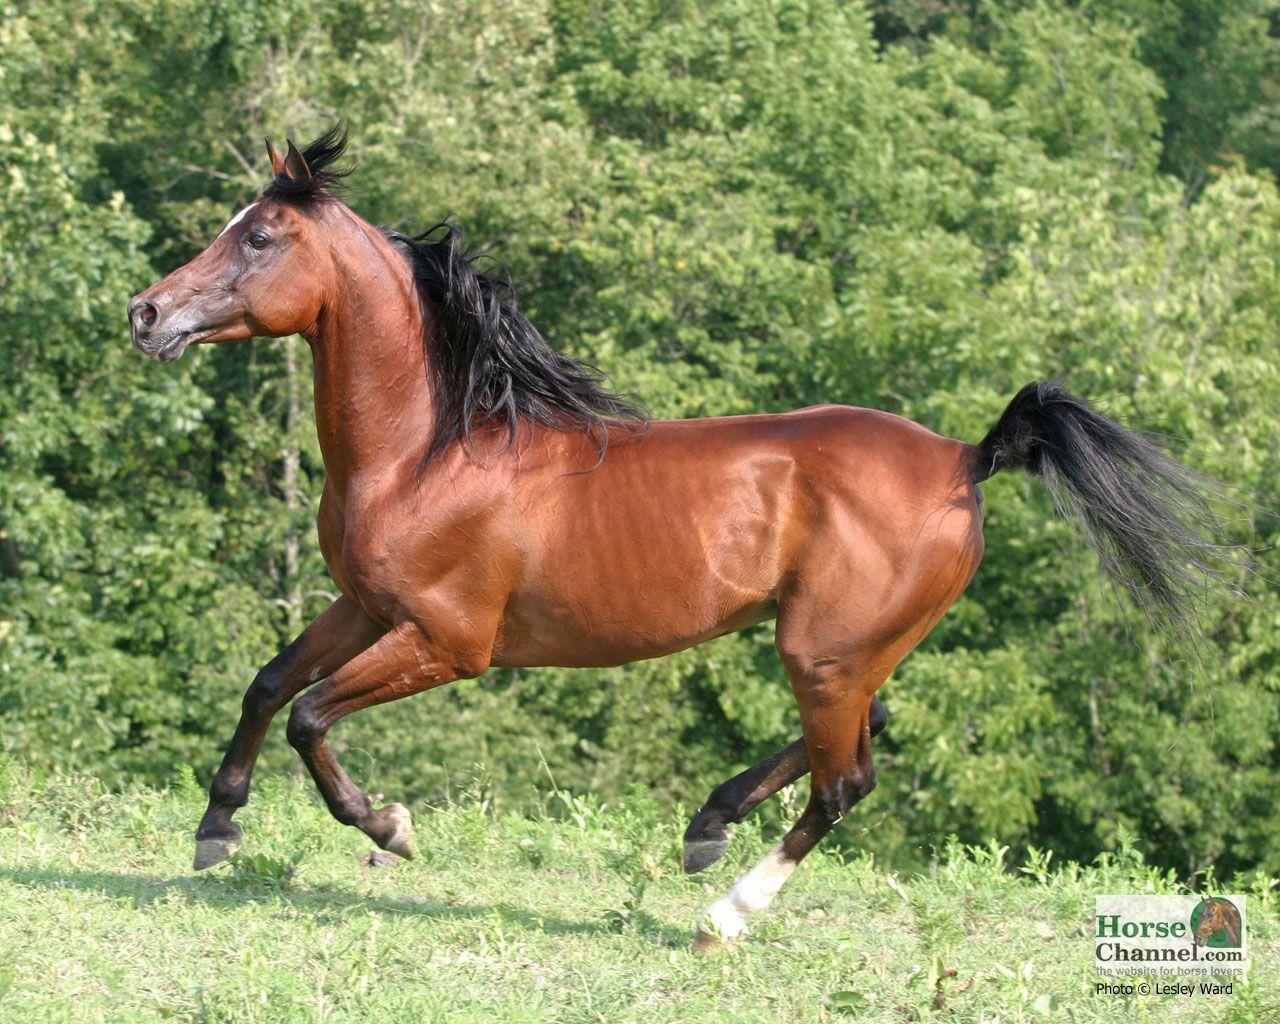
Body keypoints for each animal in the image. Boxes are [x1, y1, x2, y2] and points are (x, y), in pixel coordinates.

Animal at [127, 126, 1230, 951]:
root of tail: (967, 457)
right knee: (860, 735)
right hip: (846, 648)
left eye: (260, 237)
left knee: (847, 778)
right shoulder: (365, 606)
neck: (426, 453)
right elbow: (268, 684)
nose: (145, 313)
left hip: (821, 648)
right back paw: (708, 824)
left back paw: (721, 913)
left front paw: (388, 826)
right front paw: (217, 827)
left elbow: (312, 716)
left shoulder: (447, 641)